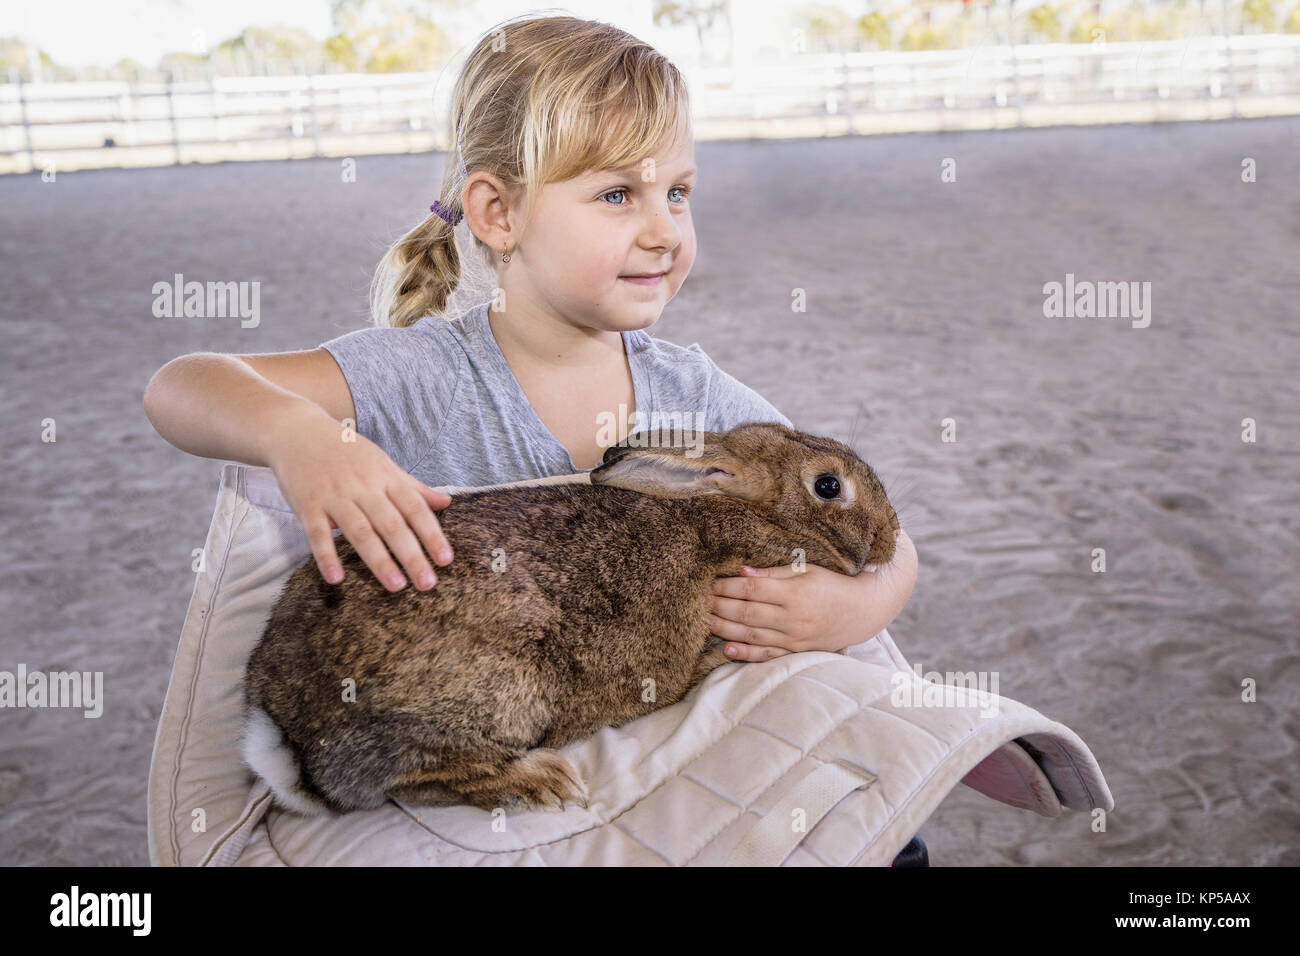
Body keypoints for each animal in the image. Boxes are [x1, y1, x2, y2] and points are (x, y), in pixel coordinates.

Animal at [242, 421, 900, 816]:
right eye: (828, 485)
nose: (892, 538)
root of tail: (292, 740)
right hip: (508, 685)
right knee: (421, 779)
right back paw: (539, 781)